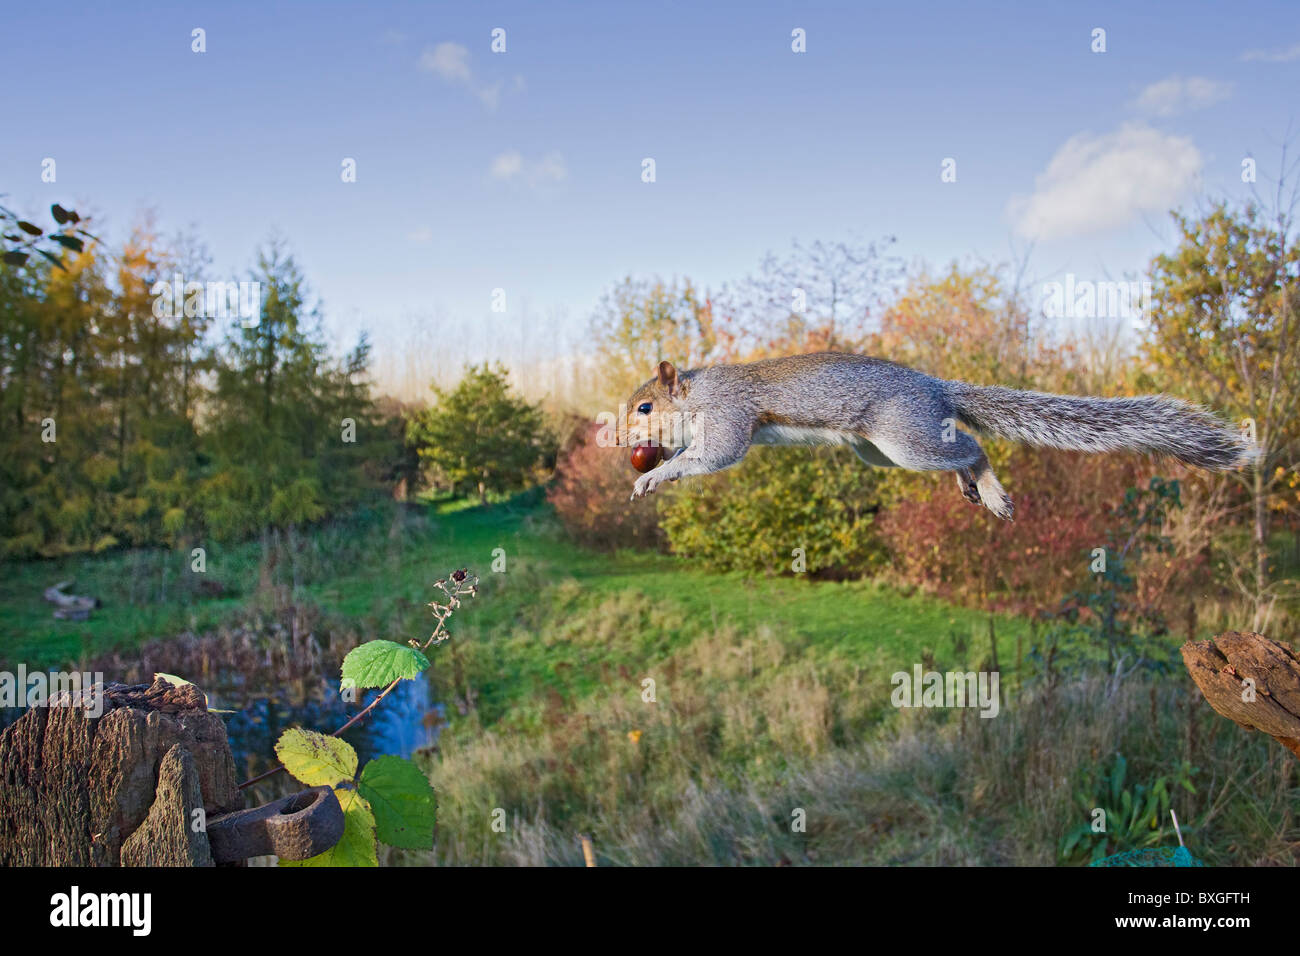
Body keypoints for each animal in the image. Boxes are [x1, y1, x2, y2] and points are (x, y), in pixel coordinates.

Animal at [623, 351, 1257, 519]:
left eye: (645, 406)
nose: (627, 443)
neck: (698, 394)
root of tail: (938, 388)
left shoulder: (730, 416)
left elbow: (713, 456)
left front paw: (658, 475)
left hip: (904, 439)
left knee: (973, 448)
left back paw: (993, 491)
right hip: (879, 452)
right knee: (958, 454)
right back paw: (968, 487)